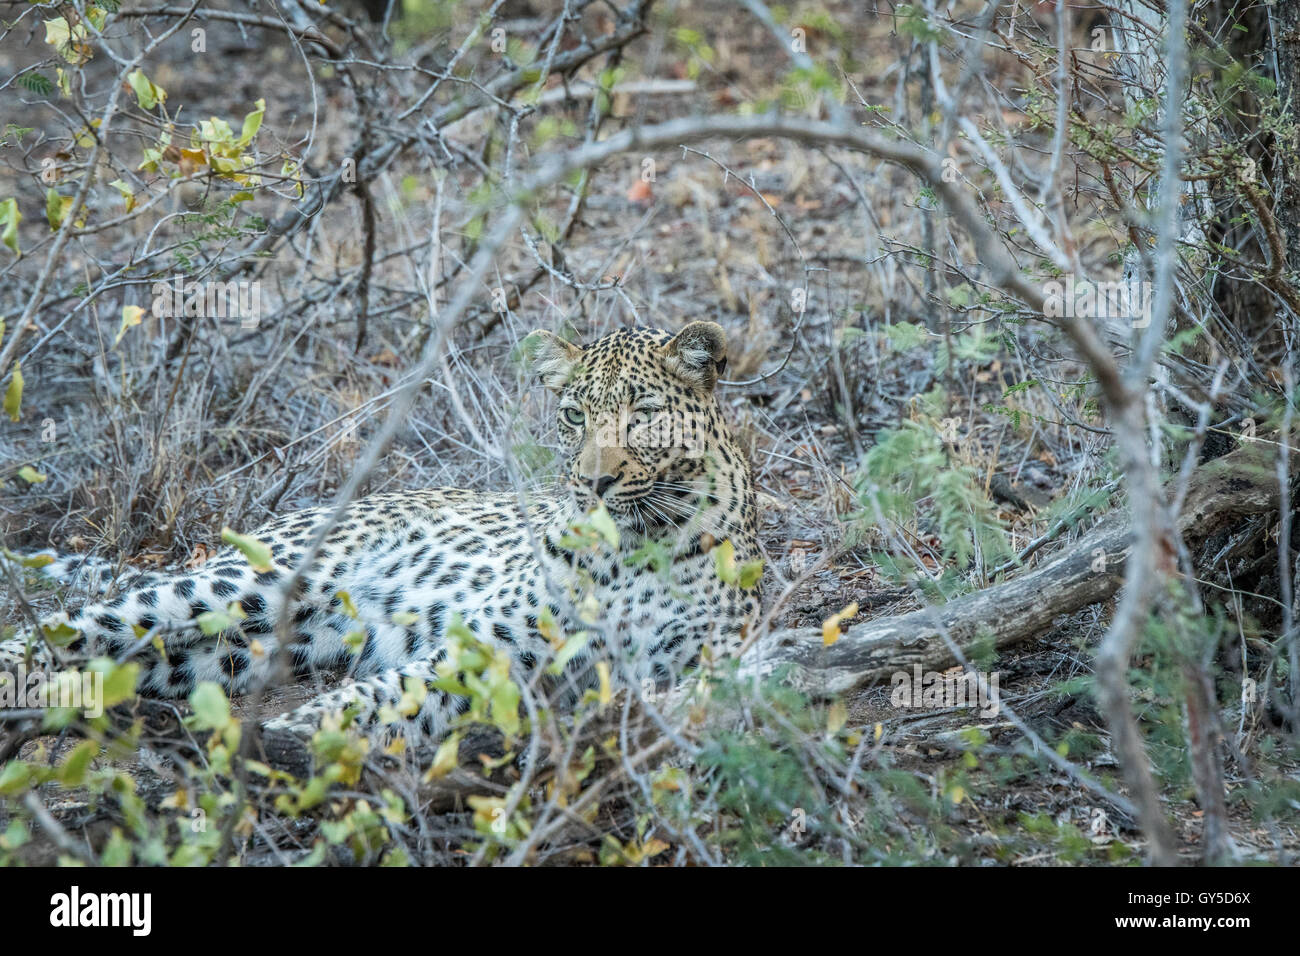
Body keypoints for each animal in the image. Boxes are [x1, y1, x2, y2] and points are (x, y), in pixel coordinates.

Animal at [0, 322, 762, 756]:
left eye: (645, 413)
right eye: (575, 415)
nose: (594, 483)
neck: (636, 548)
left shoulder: (709, 656)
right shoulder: (492, 644)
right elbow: (379, 694)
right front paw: (286, 739)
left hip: (231, 650)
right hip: (247, 581)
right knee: (70, 625)